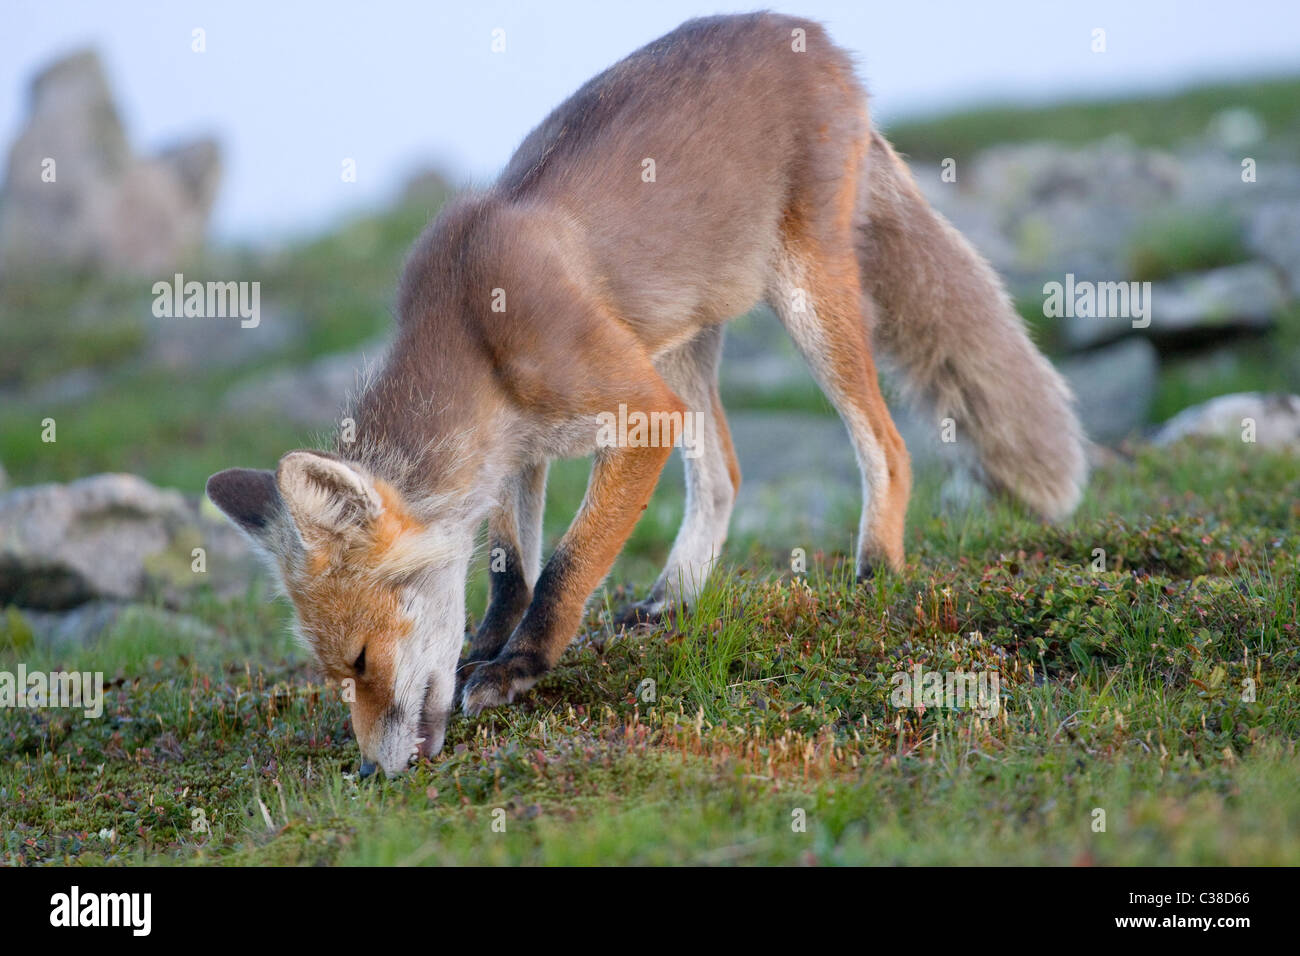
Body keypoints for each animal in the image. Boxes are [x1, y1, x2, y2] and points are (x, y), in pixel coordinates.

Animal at [207, 12, 1085, 776]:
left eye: (360, 660)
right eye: (338, 673)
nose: (368, 773)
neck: (469, 325)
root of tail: (812, 34)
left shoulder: (638, 412)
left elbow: (566, 567)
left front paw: (519, 666)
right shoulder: (520, 450)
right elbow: (508, 567)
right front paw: (487, 645)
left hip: (804, 302)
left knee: (889, 447)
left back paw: (875, 567)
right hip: (682, 349)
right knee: (725, 477)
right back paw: (673, 599)